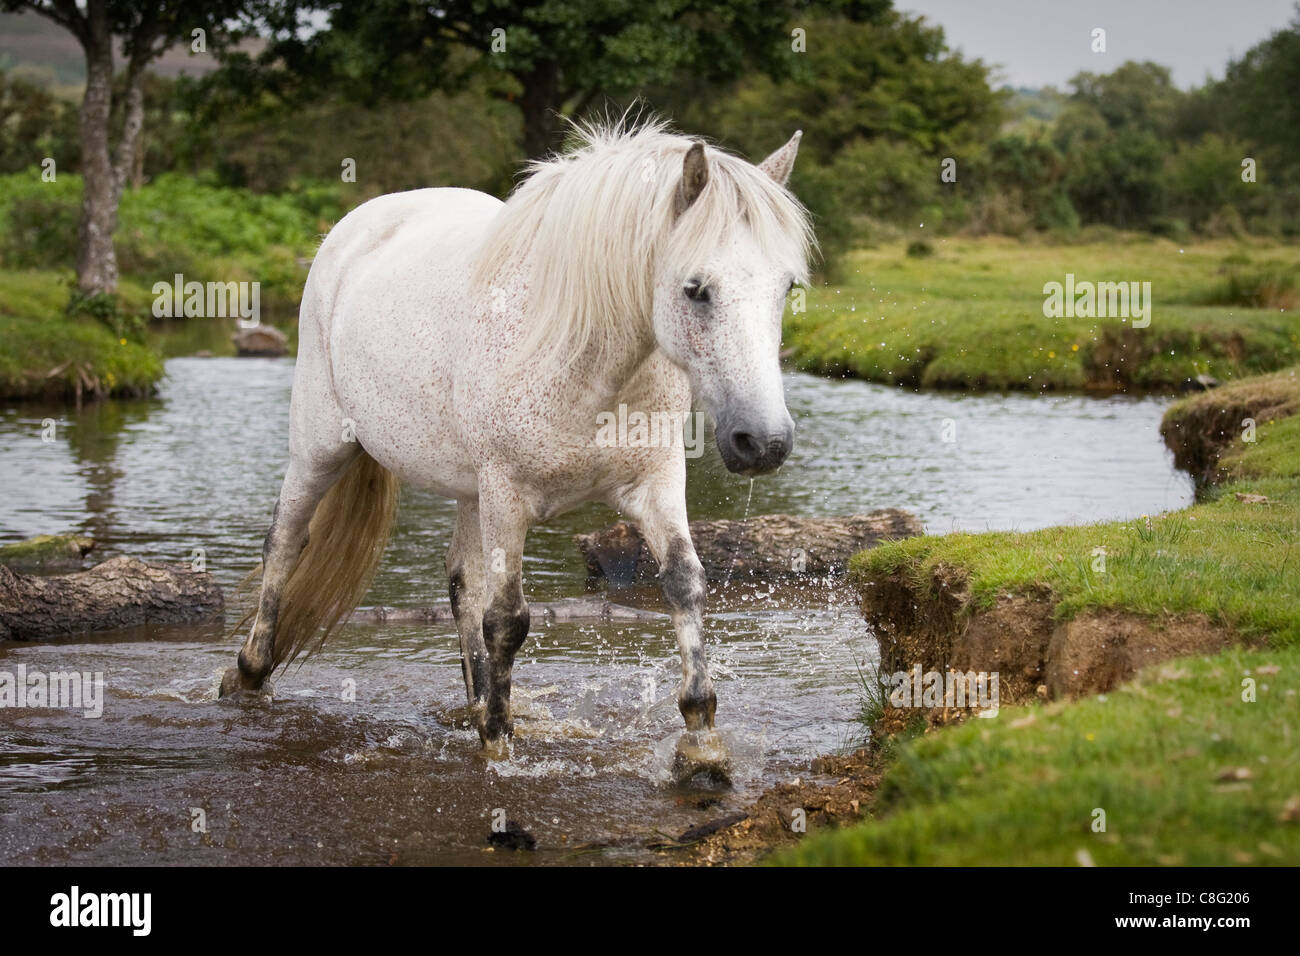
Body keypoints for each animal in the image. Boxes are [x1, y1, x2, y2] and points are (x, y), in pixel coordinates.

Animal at [218, 119, 814, 780]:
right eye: (696, 289)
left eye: (787, 288)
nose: (762, 442)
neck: (587, 360)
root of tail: (354, 228)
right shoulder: (508, 493)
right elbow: (507, 620)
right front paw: (500, 747)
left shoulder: (653, 485)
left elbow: (684, 582)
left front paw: (702, 742)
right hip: (322, 447)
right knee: (285, 542)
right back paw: (248, 675)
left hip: (468, 488)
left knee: (461, 581)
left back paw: (476, 703)